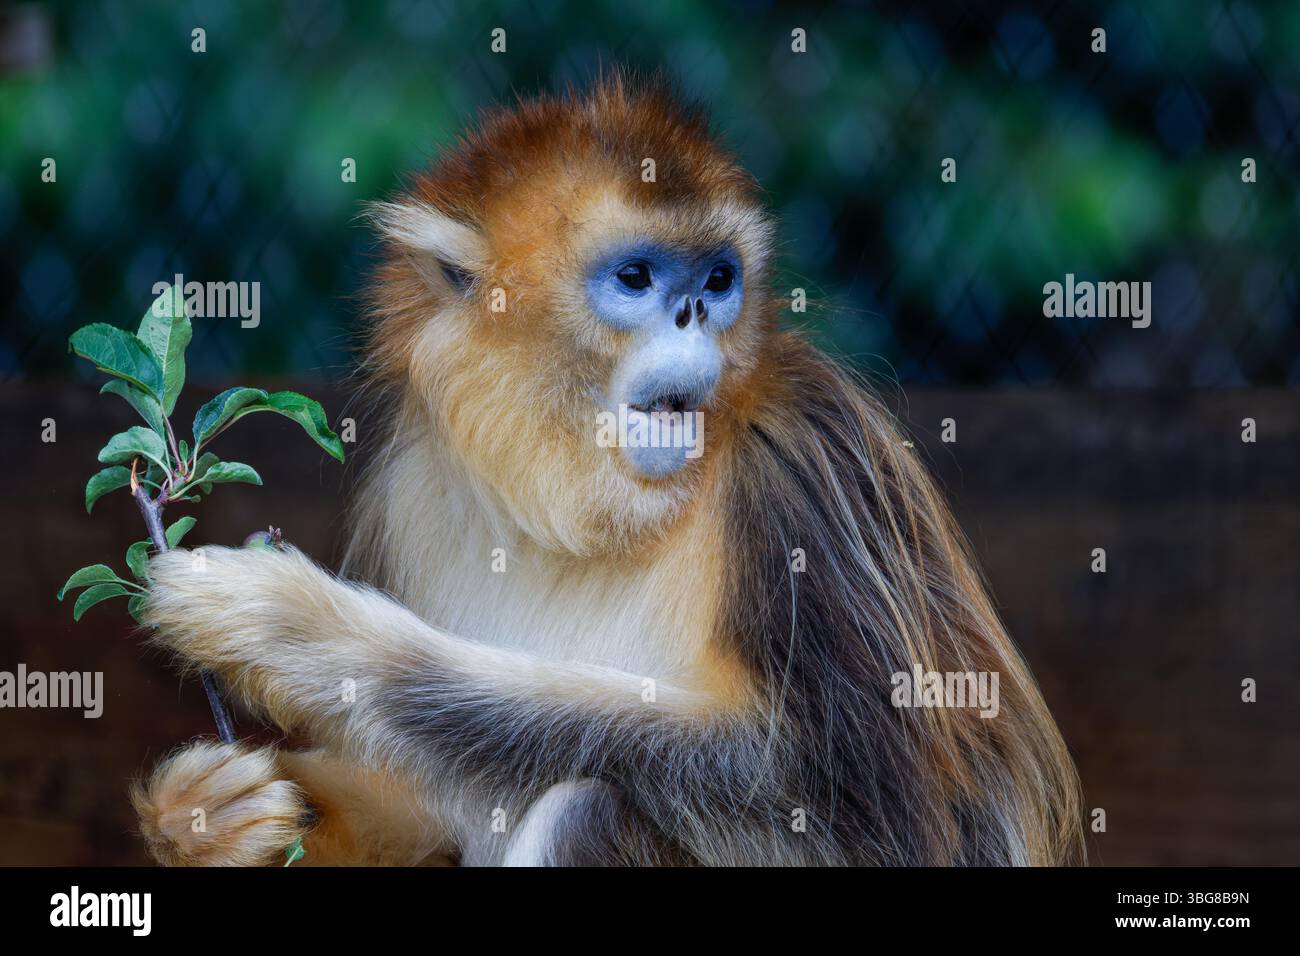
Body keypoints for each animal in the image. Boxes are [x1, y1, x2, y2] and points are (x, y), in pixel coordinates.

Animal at [131, 74, 1085, 867]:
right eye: (636, 277)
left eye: (719, 277)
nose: (695, 308)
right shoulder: (410, 495)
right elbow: (415, 816)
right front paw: (200, 820)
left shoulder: (803, 462)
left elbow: (859, 812)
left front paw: (300, 629)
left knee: (587, 807)